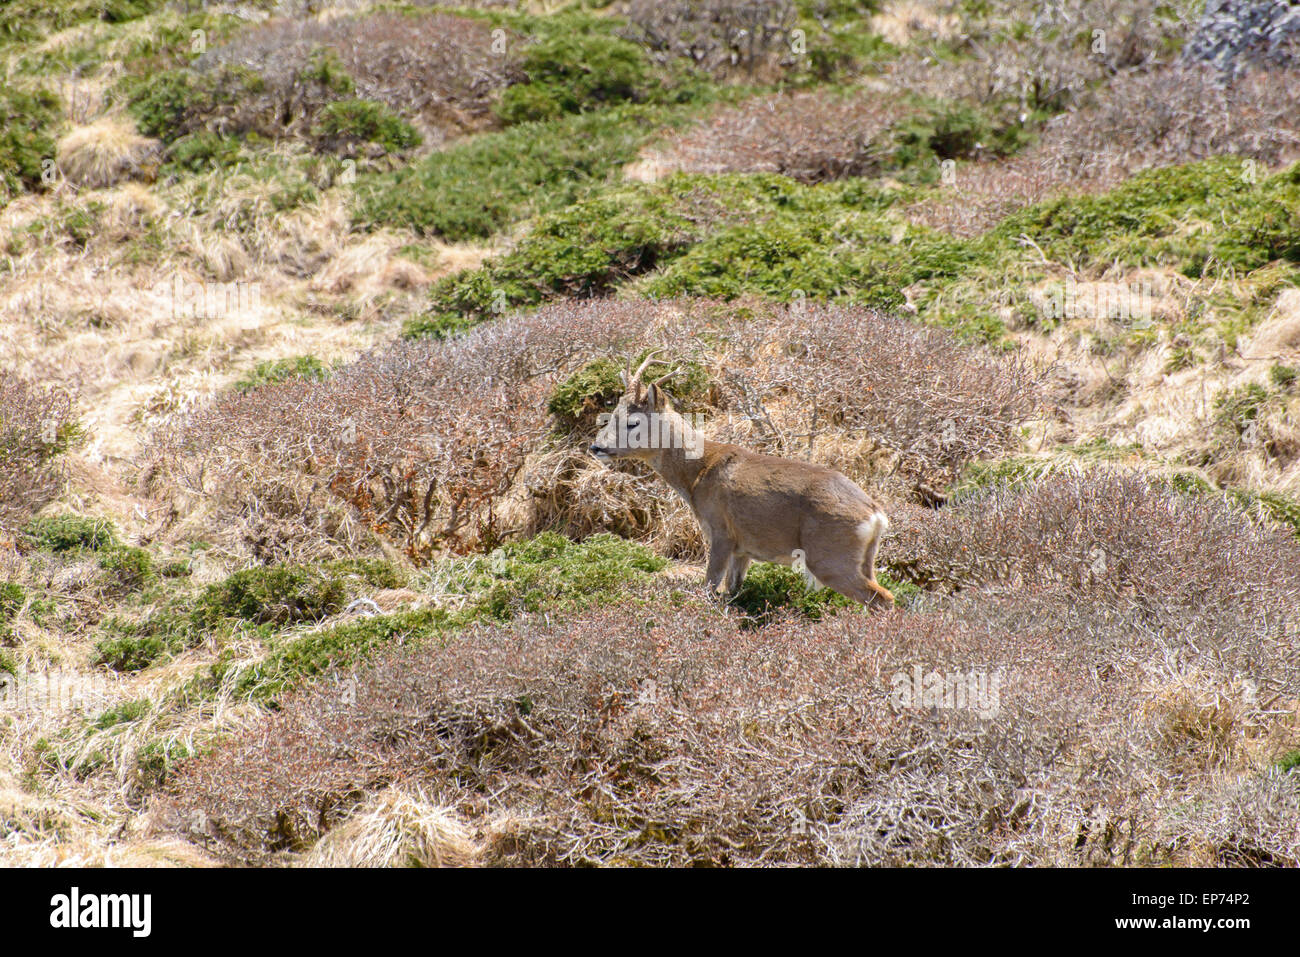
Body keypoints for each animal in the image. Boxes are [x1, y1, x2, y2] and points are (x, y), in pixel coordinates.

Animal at [589, 352, 894, 611]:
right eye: (612, 416)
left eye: (633, 423)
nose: (596, 447)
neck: (698, 473)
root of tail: (875, 514)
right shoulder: (743, 548)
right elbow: (731, 591)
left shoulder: (721, 531)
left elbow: (710, 586)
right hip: (863, 558)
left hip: (830, 555)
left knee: (883, 597)